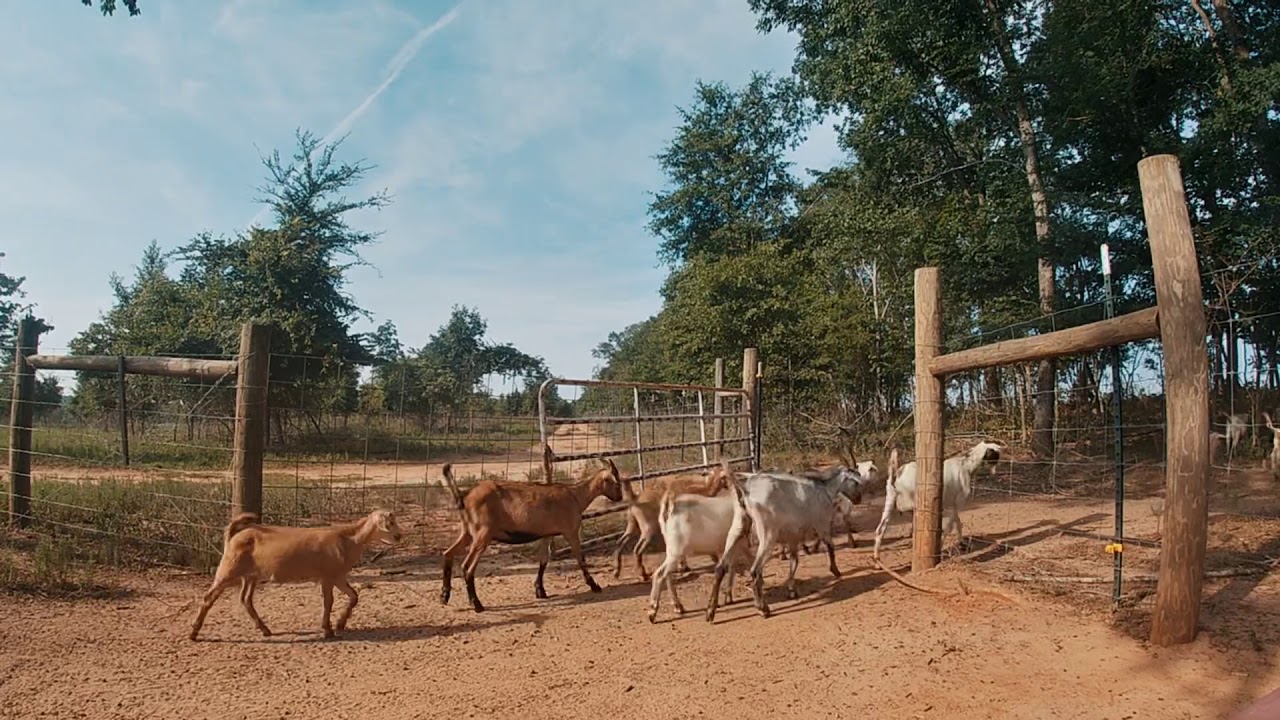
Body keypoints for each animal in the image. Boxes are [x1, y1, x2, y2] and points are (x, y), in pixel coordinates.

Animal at [188, 509, 403, 641]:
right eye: (390, 522)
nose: (400, 536)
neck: (348, 539)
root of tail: (234, 535)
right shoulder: (327, 576)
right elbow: (329, 602)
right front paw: (328, 630)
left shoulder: (338, 576)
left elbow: (354, 596)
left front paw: (340, 624)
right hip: (229, 568)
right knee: (209, 597)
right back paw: (194, 632)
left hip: (250, 575)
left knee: (245, 599)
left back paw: (265, 629)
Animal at [439, 460, 624, 612]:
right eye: (616, 482)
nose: (620, 497)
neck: (575, 496)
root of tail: (464, 496)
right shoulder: (571, 531)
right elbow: (581, 558)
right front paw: (594, 585)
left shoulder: (547, 534)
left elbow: (543, 560)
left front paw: (540, 590)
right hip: (483, 534)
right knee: (467, 567)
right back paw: (476, 604)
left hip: (468, 532)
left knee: (448, 553)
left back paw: (444, 595)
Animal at [646, 464, 751, 623]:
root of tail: (670, 506)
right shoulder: (740, 542)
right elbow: (746, 561)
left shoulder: (729, 546)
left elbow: (731, 566)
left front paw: (727, 596)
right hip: (676, 550)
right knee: (659, 574)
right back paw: (653, 611)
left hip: (671, 550)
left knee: (667, 575)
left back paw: (678, 606)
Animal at [705, 462, 871, 621]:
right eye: (856, 482)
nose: (858, 499)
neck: (824, 488)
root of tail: (745, 489)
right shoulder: (822, 523)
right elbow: (830, 545)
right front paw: (835, 571)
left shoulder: (793, 537)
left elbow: (794, 561)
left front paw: (792, 590)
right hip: (767, 534)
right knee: (755, 570)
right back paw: (762, 608)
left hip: (738, 526)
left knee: (720, 568)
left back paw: (710, 611)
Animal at [871, 440, 1002, 561]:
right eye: (996, 456)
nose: (996, 472)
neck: (966, 464)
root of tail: (897, 475)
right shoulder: (954, 506)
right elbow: (952, 527)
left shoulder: (951, 507)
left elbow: (958, 524)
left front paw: (961, 543)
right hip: (914, 505)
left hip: (889, 504)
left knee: (880, 530)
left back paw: (877, 557)